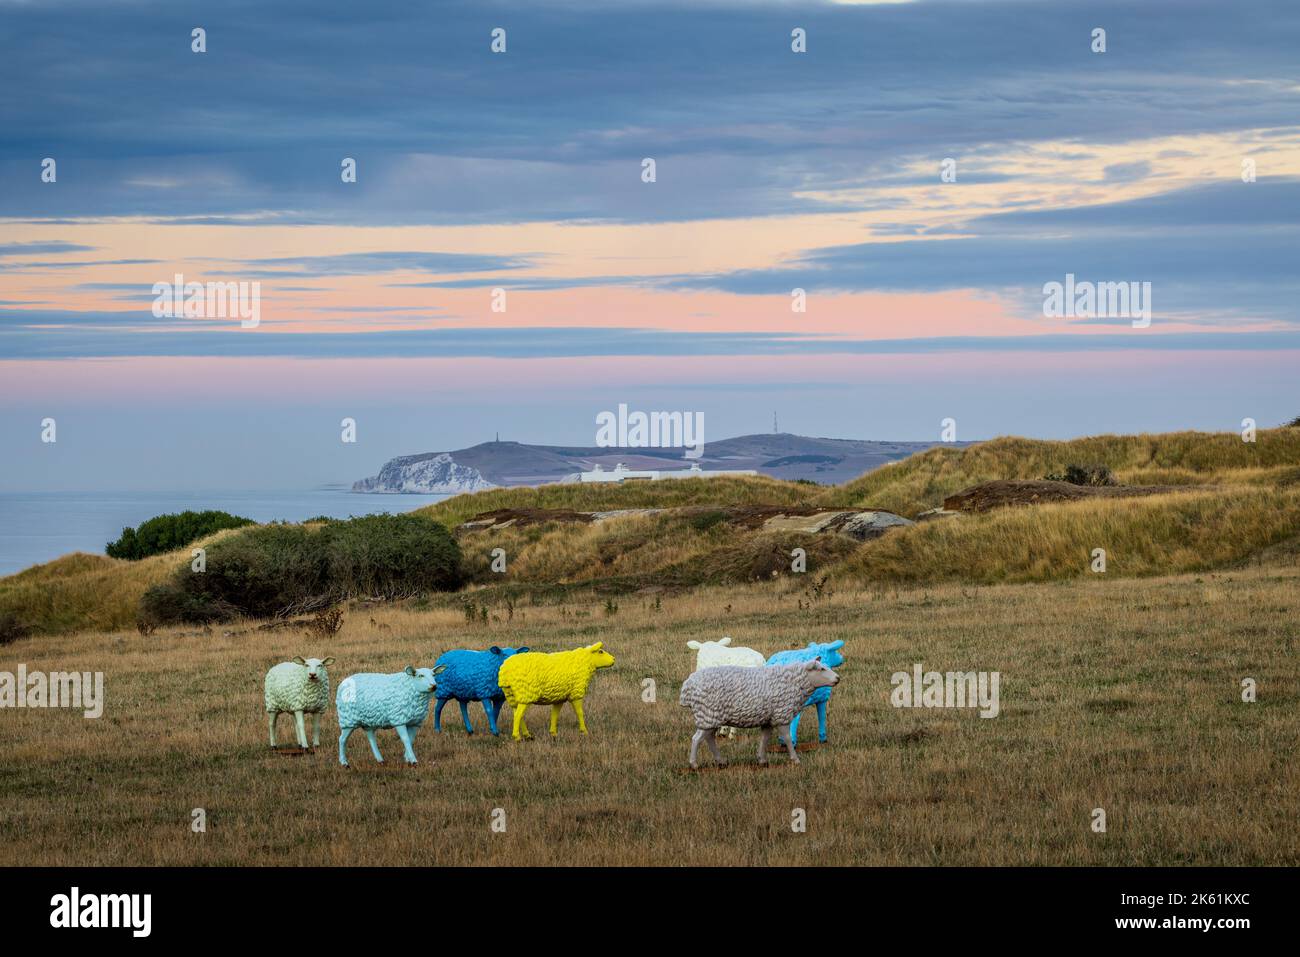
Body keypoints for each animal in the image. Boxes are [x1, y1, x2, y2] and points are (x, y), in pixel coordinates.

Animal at [678, 660, 840, 769]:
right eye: (821, 668)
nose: (838, 678)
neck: (794, 682)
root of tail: (688, 686)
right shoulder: (781, 715)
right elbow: (787, 738)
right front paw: (795, 759)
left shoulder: (768, 719)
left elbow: (765, 738)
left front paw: (762, 760)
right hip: (708, 713)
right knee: (697, 739)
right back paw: (694, 764)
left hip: (710, 717)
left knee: (709, 738)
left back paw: (721, 761)